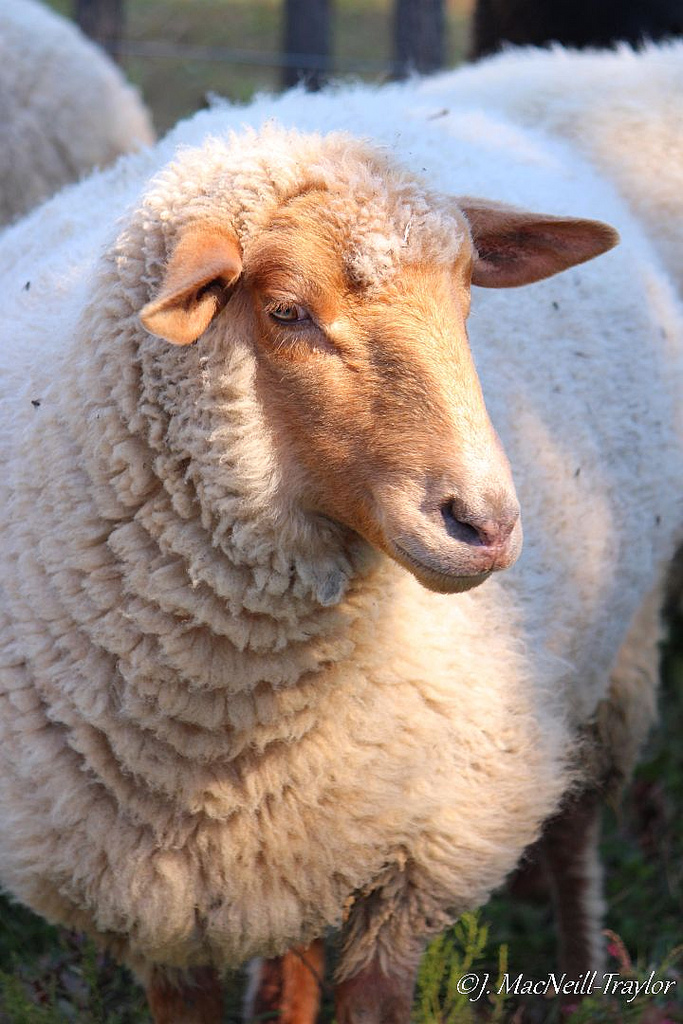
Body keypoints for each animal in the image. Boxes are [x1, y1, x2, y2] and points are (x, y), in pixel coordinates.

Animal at [0, 70, 681, 1024]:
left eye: (466, 300)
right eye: (286, 311)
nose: (483, 523)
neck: (230, 730)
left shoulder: (422, 858)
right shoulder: (148, 908)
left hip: (610, 657)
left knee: (575, 828)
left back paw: (584, 983)